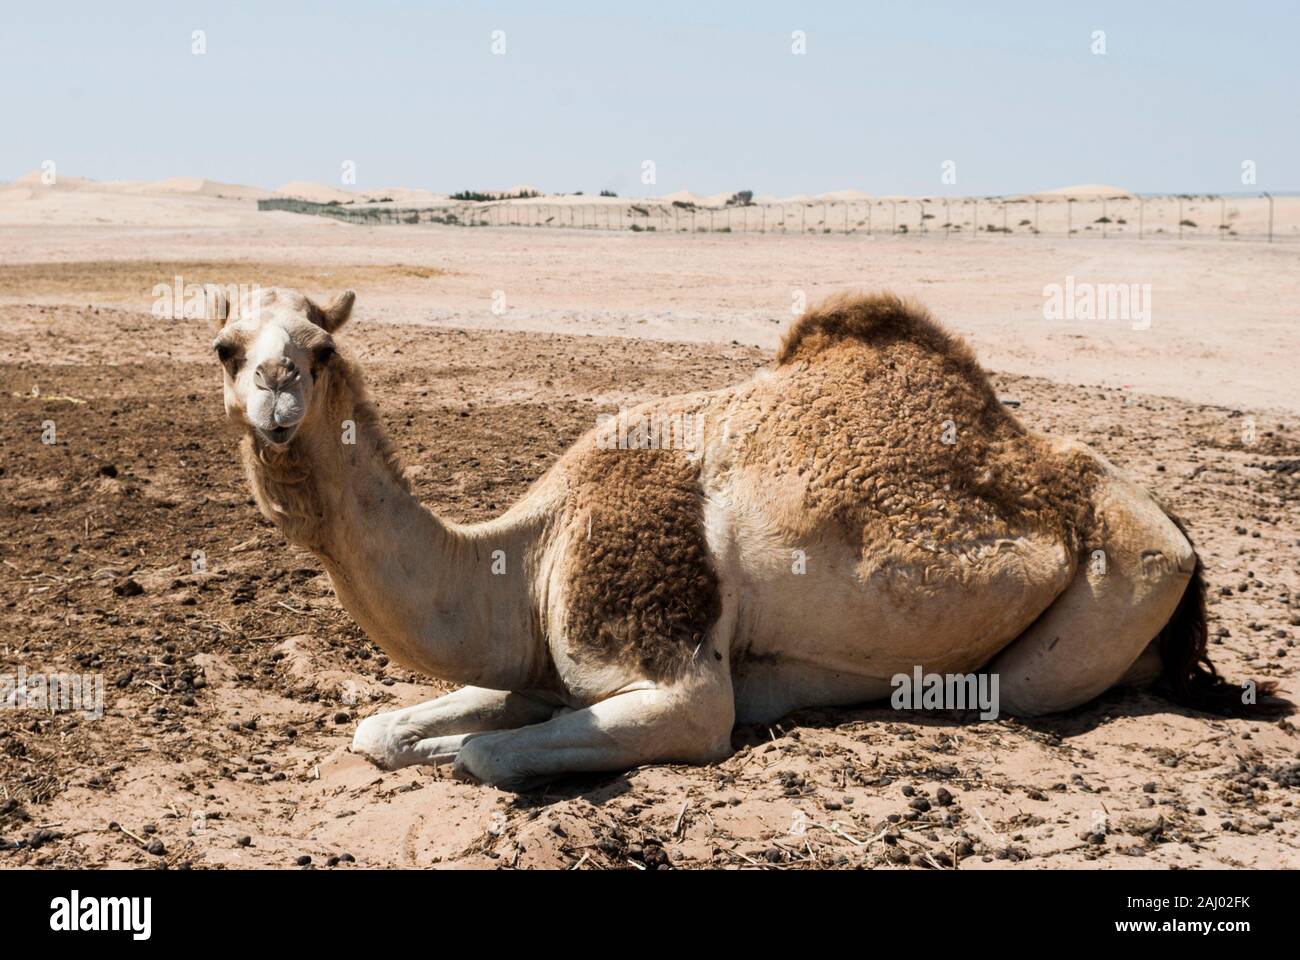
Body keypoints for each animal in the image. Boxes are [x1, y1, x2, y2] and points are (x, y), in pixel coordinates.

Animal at [208, 285, 1249, 789]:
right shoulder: (543, 662)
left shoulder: (680, 686)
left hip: (1126, 578)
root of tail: (1179, 528)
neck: (529, 555)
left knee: (1029, 687)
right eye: (225, 347)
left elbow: (486, 755)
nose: (277, 393)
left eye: (322, 347)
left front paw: (466, 745)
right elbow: (384, 729)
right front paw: (428, 734)